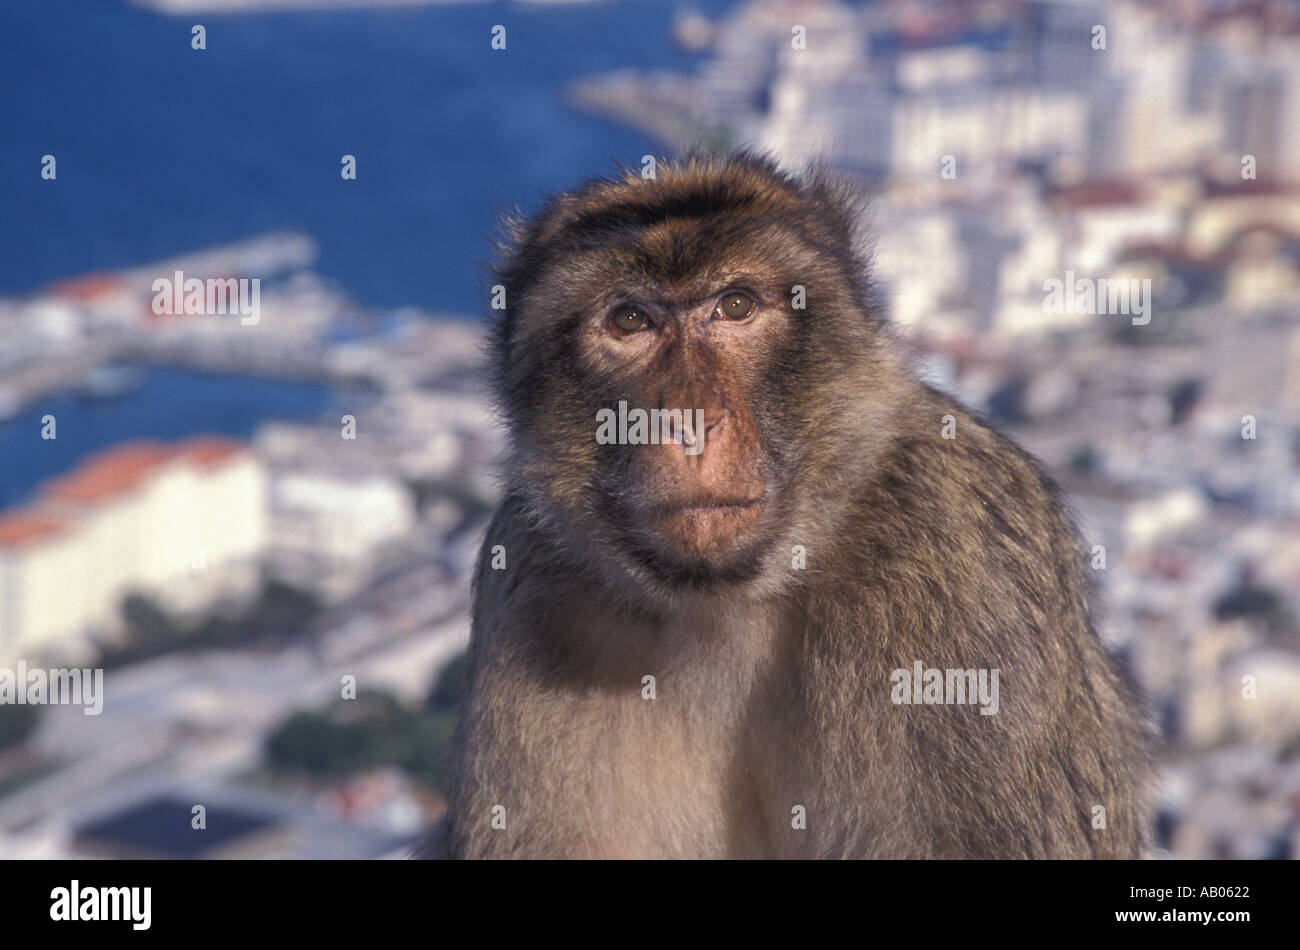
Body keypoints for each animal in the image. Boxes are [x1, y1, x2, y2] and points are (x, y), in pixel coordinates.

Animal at [442, 152, 1152, 859]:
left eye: (735, 305)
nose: (688, 422)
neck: (728, 603)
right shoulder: (532, 594)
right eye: (629, 321)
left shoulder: (955, 555)